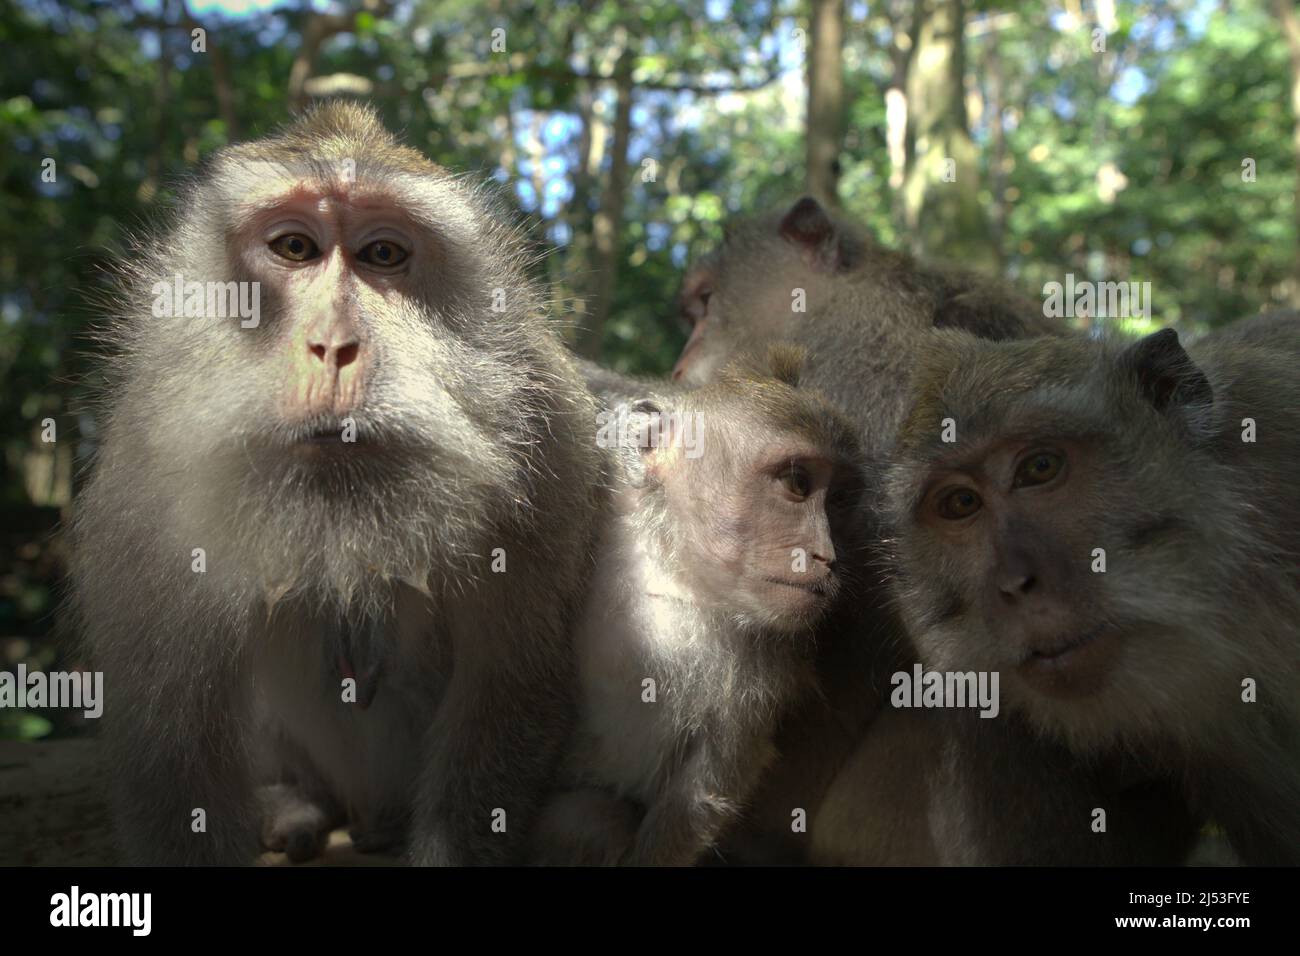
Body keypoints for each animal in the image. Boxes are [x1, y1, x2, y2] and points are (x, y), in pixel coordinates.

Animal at [68, 102, 606, 865]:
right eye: (295, 247)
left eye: (383, 256)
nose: (334, 346)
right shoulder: (141, 481)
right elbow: (171, 744)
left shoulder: (554, 443)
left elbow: (508, 686)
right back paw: (295, 803)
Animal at [531, 347, 868, 866]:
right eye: (797, 483)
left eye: (839, 501)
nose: (825, 556)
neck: (670, 575)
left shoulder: (763, 663)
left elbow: (699, 796)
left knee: (593, 816)